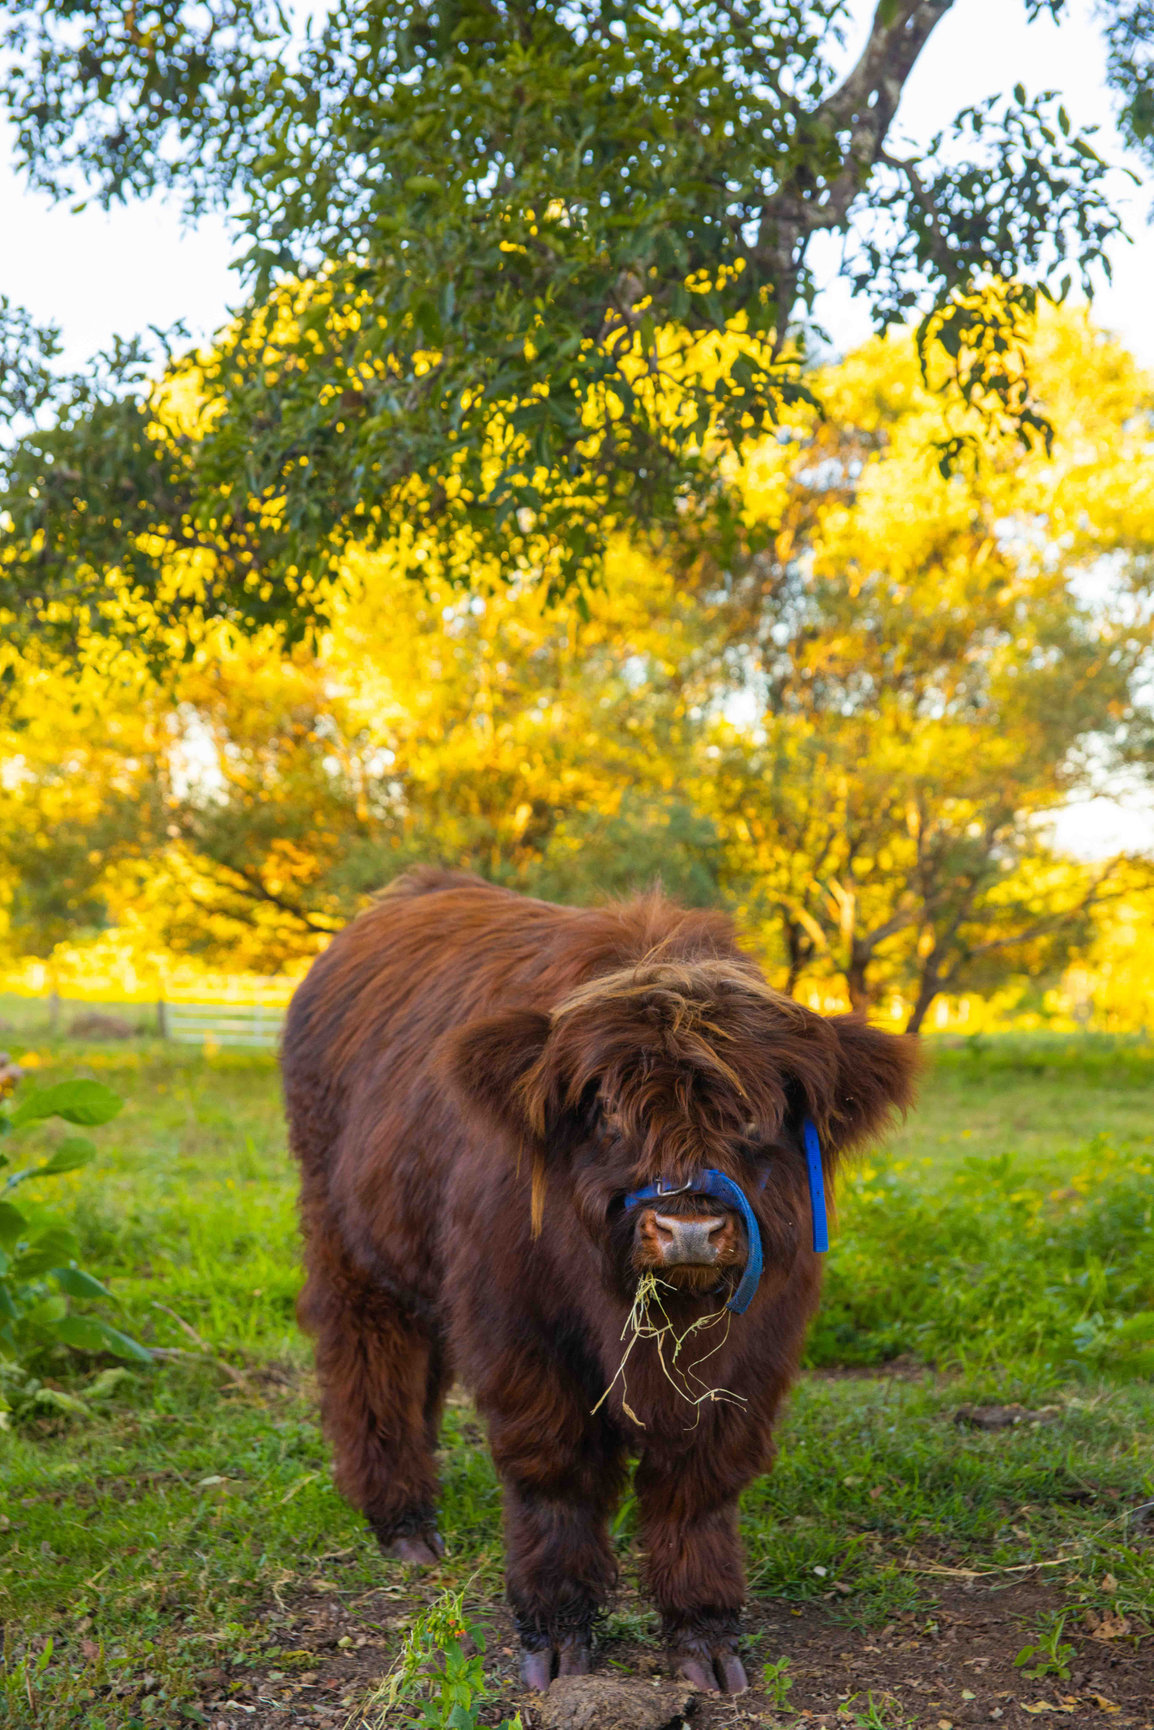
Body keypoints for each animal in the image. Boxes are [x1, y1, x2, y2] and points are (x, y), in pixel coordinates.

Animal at [282, 868, 918, 1693]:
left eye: (756, 1117)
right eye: (609, 1112)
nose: (688, 1230)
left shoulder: (755, 1354)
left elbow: (699, 1486)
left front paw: (705, 1632)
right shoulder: (521, 1336)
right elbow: (555, 1476)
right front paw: (555, 1633)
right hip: (346, 1239)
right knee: (370, 1358)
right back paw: (403, 1519)